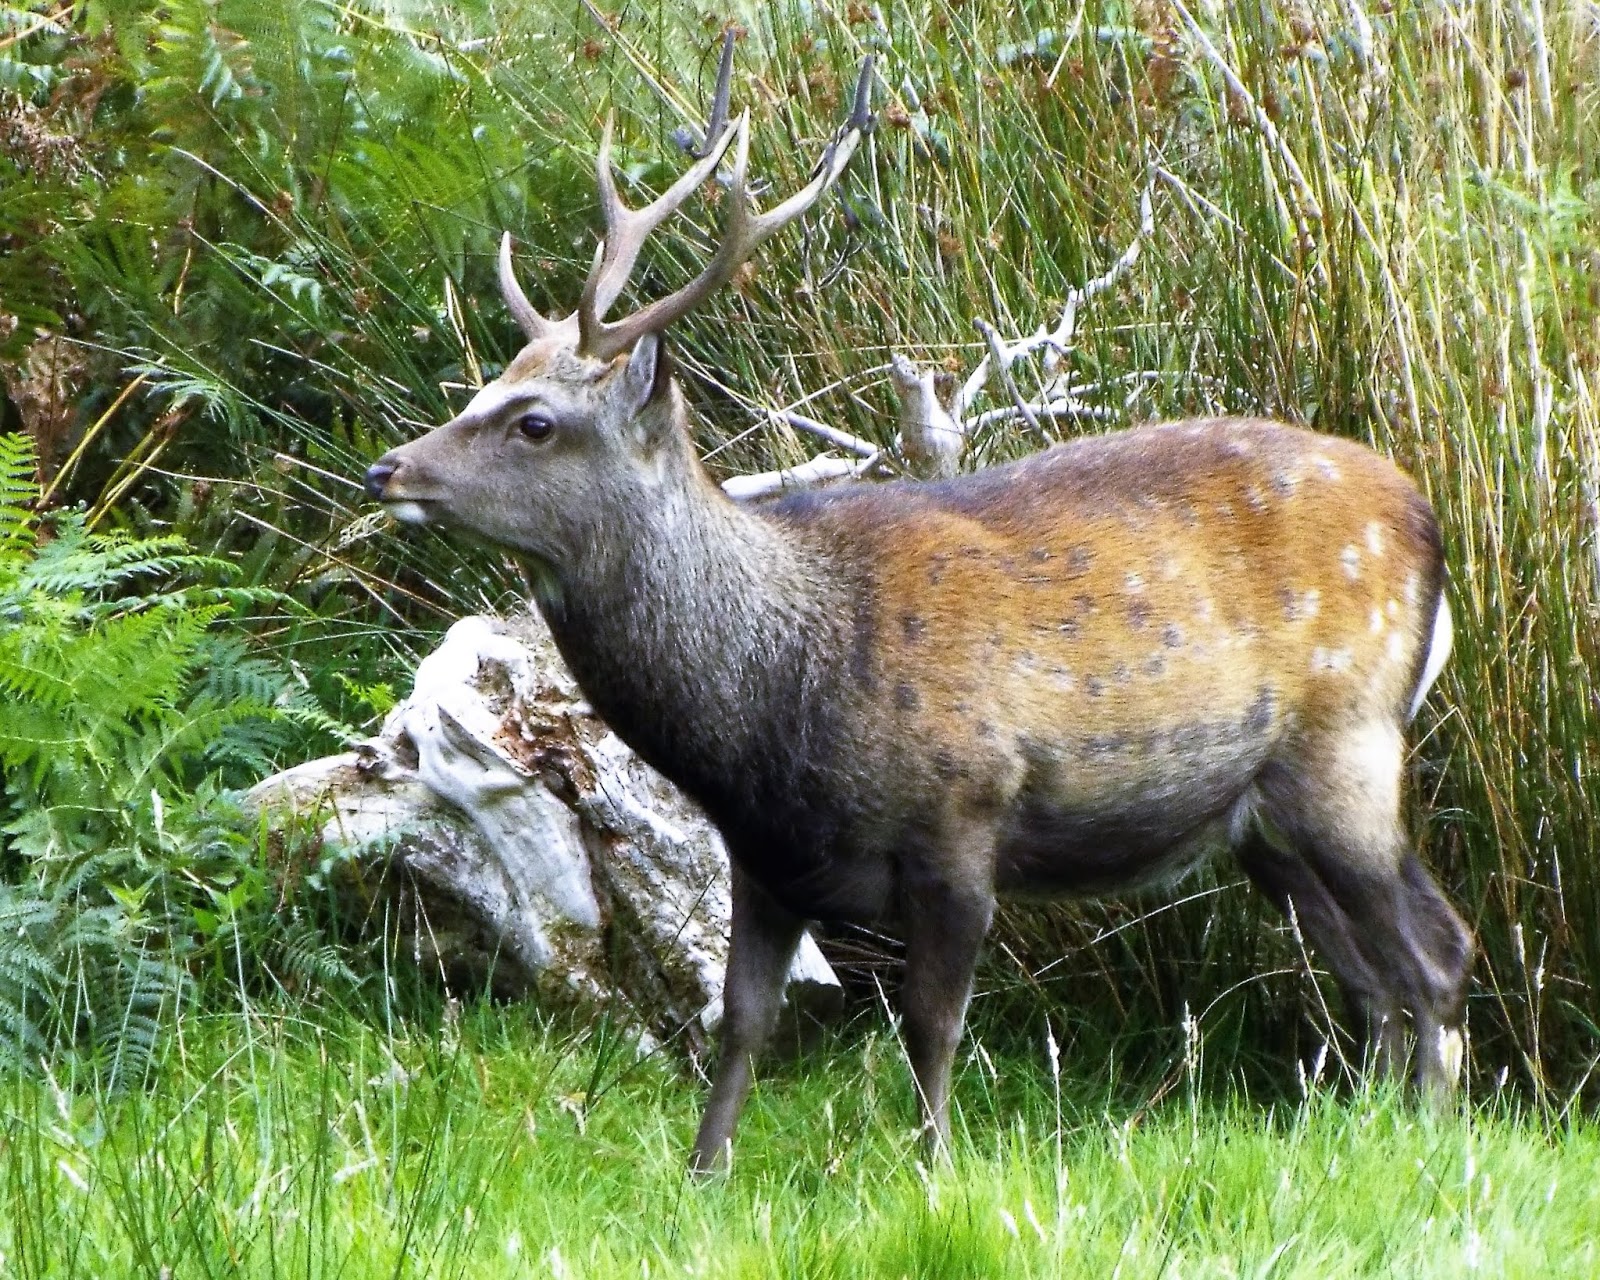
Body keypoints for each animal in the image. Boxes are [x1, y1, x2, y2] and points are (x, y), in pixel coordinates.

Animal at [364, 49, 1472, 1173]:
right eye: (489, 384)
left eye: (535, 421)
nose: (388, 469)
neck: (773, 711)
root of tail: (1427, 525)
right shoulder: (764, 856)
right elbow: (743, 1020)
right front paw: (704, 1171)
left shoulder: (963, 814)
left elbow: (931, 1023)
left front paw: (933, 1170)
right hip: (1260, 813)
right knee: (1375, 970)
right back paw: (1358, 1132)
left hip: (1348, 739)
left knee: (1433, 952)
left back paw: (1425, 1141)